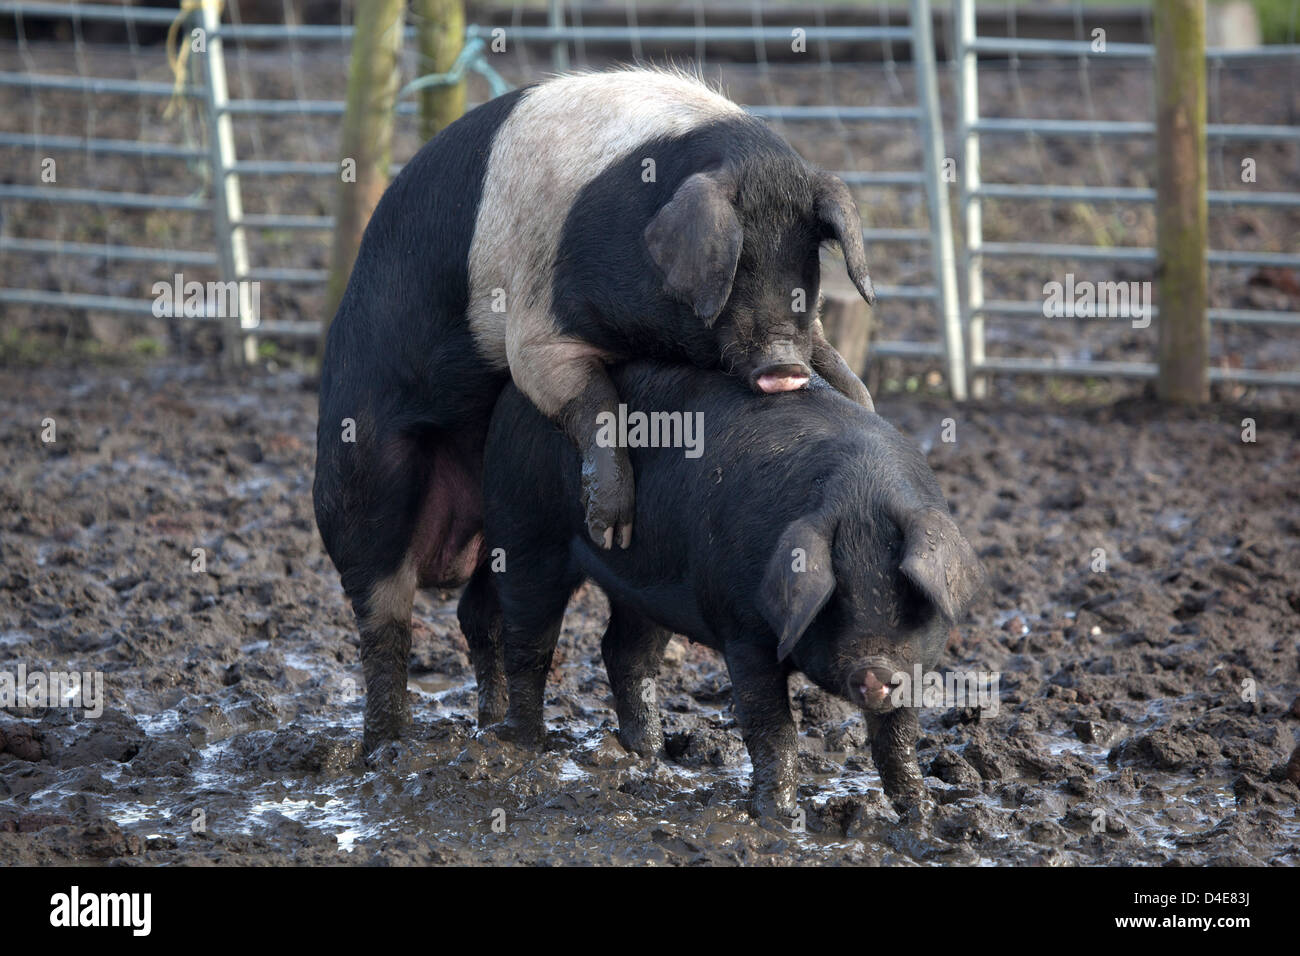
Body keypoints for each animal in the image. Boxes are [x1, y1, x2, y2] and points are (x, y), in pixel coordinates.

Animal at [314, 68, 879, 751]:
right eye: (735, 267)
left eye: (806, 271)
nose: (782, 368)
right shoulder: (537, 322)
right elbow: (588, 397)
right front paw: (611, 527)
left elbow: (837, 361)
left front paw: (860, 401)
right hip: (363, 467)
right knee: (382, 609)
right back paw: (387, 744)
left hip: (500, 513)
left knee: (479, 613)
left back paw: (490, 728)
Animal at [463, 361, 985, 819]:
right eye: (837, 597)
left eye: (905, 597)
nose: (874, 672)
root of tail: (512, 395)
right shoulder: (743, 631)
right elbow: (771, 728)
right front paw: (777, 817)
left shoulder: (911, 664)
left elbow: (897, 737)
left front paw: (921, 814)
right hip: (525, 530)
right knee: (529, 641)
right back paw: (525, 745)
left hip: (645, 583)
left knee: (623, 651)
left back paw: (650, 756)